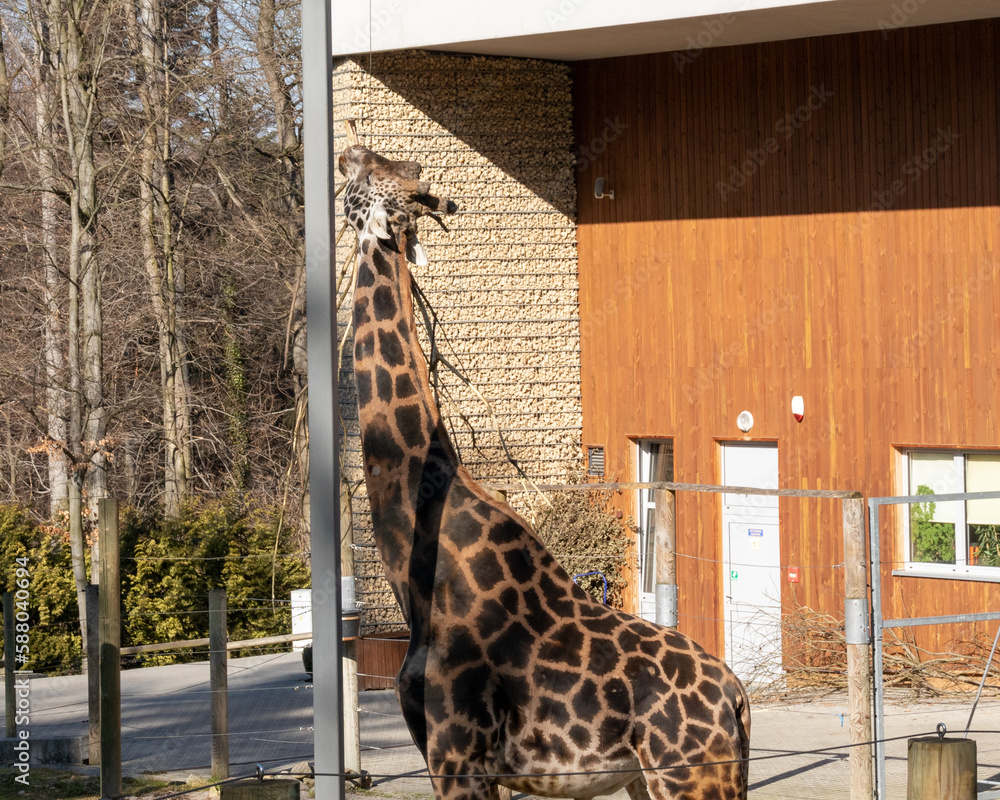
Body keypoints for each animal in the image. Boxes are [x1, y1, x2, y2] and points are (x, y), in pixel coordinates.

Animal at [339, 143, 751, 800]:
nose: (346, 152)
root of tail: (737, 697)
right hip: (657, 779)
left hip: (692, 777)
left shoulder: (456, 755)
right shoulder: (474, 764)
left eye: (370, 175)